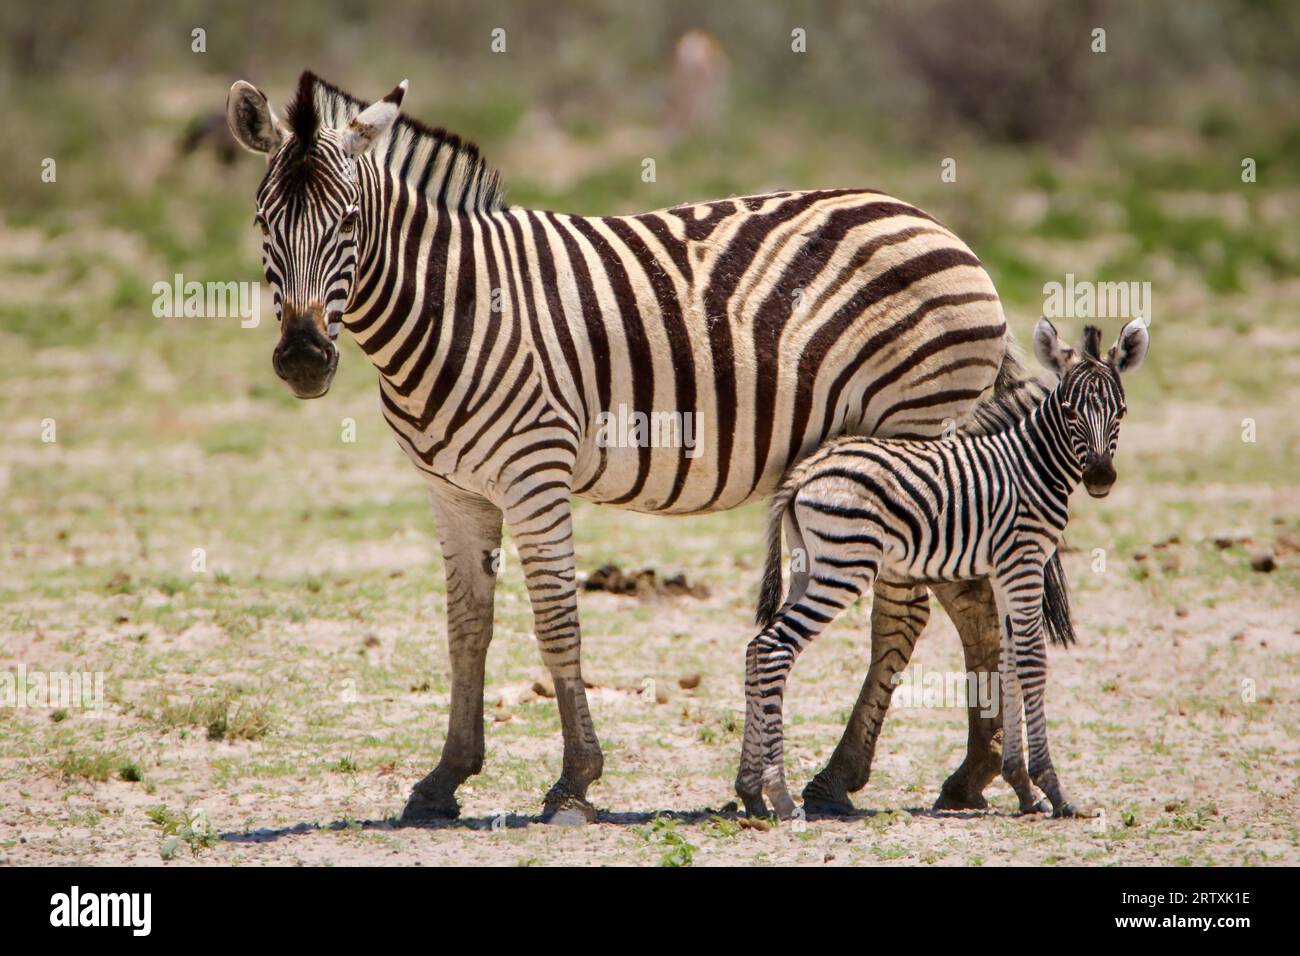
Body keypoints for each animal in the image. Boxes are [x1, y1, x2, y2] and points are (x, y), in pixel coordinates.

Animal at [224, 70, 1073, 823]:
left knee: (906, 612)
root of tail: (937, 225)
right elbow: (468, 629)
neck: (453, 306)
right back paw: (970, 775)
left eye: (348, 225)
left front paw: (574, 781)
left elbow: (556, 623)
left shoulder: (534, 472)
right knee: (970, 602)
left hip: (914, 427)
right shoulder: (454, 490)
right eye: (263, 224)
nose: (303, 360)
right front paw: (445, 779)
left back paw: (841, 778)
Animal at [742, 318, 1149, 819]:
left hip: (810, 567)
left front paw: (1022, 788)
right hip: (844, 567)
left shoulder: (1003, 572)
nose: (1100, 478)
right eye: (1071, 411)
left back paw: (750, 792)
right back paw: (780, 797)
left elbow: (1008, 661)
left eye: (1121, 411)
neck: (1031, 464)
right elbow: (1032, 661)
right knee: (774, 647)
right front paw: (1054, 791)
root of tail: (806, 471)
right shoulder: (1023, 561)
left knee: (756, 649)